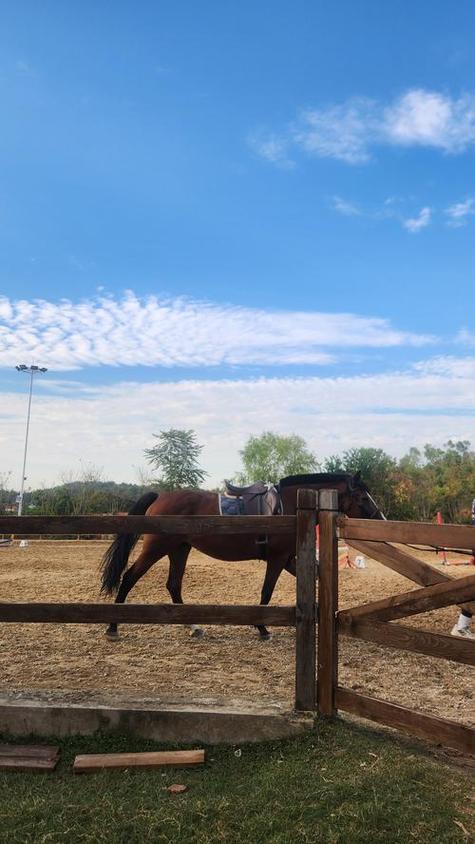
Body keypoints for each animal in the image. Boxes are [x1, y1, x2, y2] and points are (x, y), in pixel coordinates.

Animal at [100, 472, 384, 640]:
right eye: (361, 496)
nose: (380, 519)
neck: (290, 505)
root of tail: (161, 496)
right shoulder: (278, 559)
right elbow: (266, 592)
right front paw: (262, 628)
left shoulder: (289, 560)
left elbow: (313, 575)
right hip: (157, 548)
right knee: (129, 577)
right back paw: (113, 627)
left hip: (179, 548)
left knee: (173, 585)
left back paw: (193, 626)